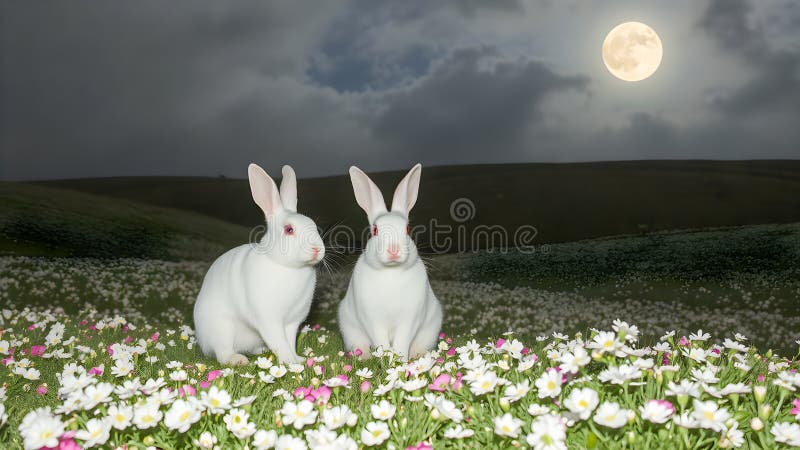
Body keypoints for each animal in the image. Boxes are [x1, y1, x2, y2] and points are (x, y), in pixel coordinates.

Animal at [194, 163, 325, 365]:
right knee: (222, 353)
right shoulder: (269, 320)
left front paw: (298, 359)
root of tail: (201, 340)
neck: (290, 268)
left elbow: (289, 340)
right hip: (221, 329)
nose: (317, 249)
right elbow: (280, 342)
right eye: (289, 229)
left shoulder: (291, 323)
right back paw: (238, 359)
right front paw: (289, 361)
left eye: (314, 226)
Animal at [337, 163, 443, 360]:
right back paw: (364, 356)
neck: (391, 272)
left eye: (407, 229)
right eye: (375, 230)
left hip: (430, 329)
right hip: (350, 329)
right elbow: (380, 340)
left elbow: (402, 341)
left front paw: (399, 360)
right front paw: (386, 359)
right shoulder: (372, 318)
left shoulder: (410, 318)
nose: (393, 250)